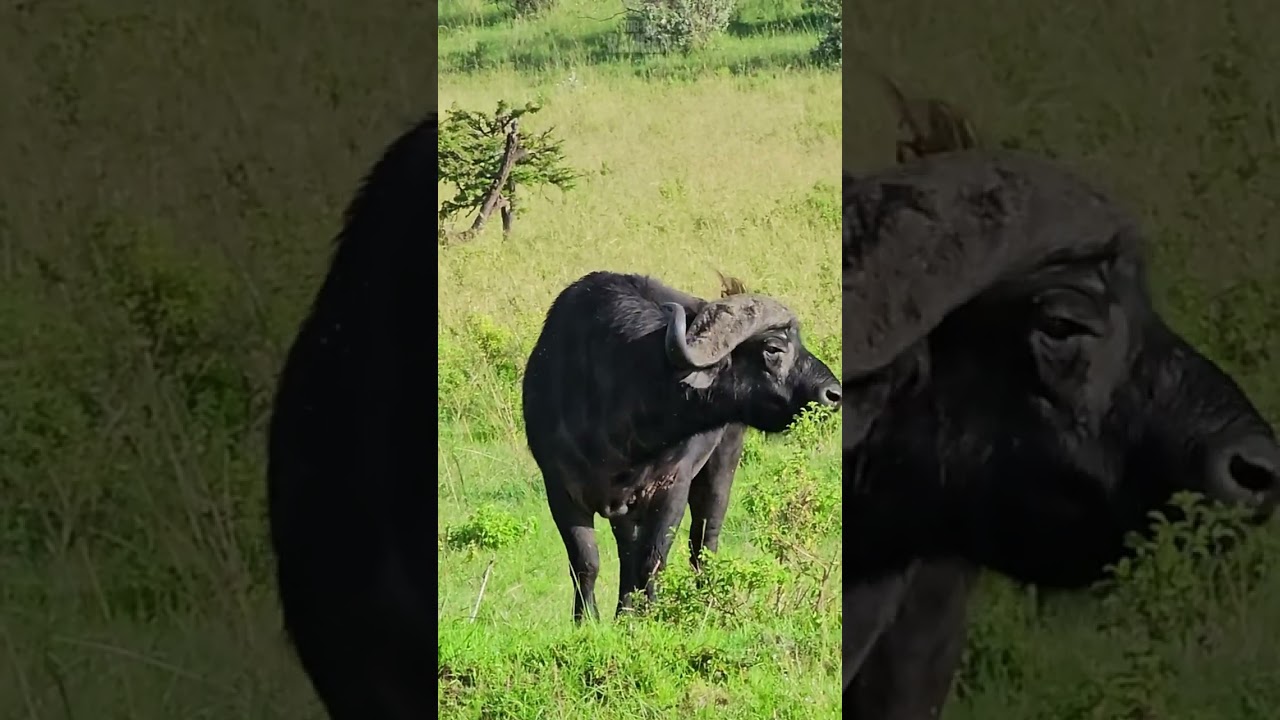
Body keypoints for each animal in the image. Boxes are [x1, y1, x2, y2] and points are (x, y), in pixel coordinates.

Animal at [522, 270, 843, 622]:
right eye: (774, 347)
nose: (833, 393)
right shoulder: (560, 490)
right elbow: (586, 561)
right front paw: (588, 620)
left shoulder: (671, 486)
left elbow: (653, 560)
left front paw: (648, 615)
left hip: (721, 466)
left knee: (704, 540)